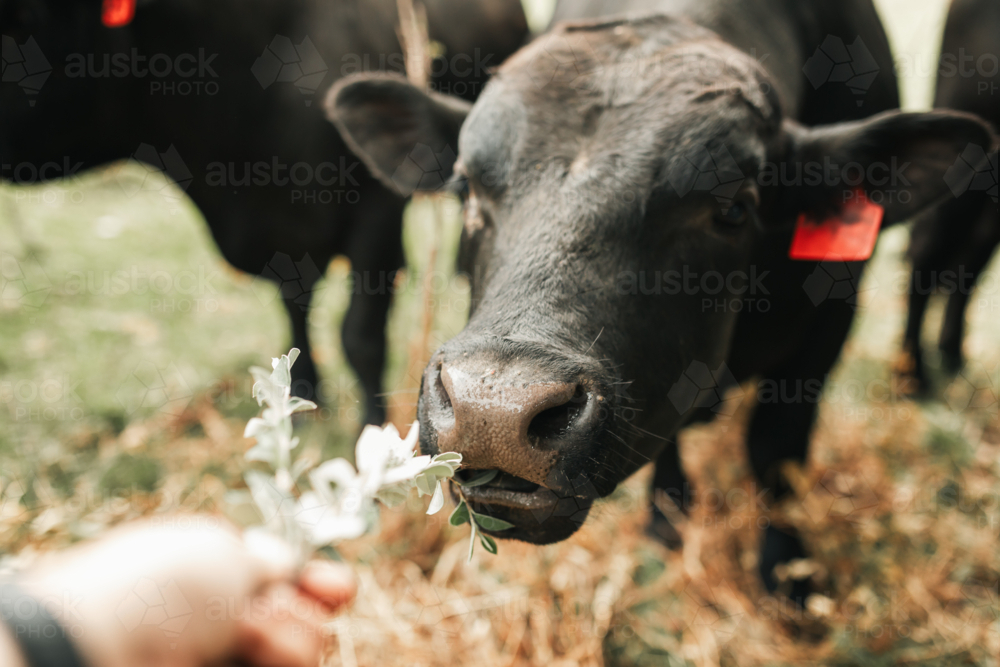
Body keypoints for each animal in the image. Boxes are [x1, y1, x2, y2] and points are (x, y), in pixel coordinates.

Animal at [1, 0, 528, 425]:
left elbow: (360, 336)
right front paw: (300, 403)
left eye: (25, 17)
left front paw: (371, 427)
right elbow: (294, 312)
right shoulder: (275, 236)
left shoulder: (375, 217)